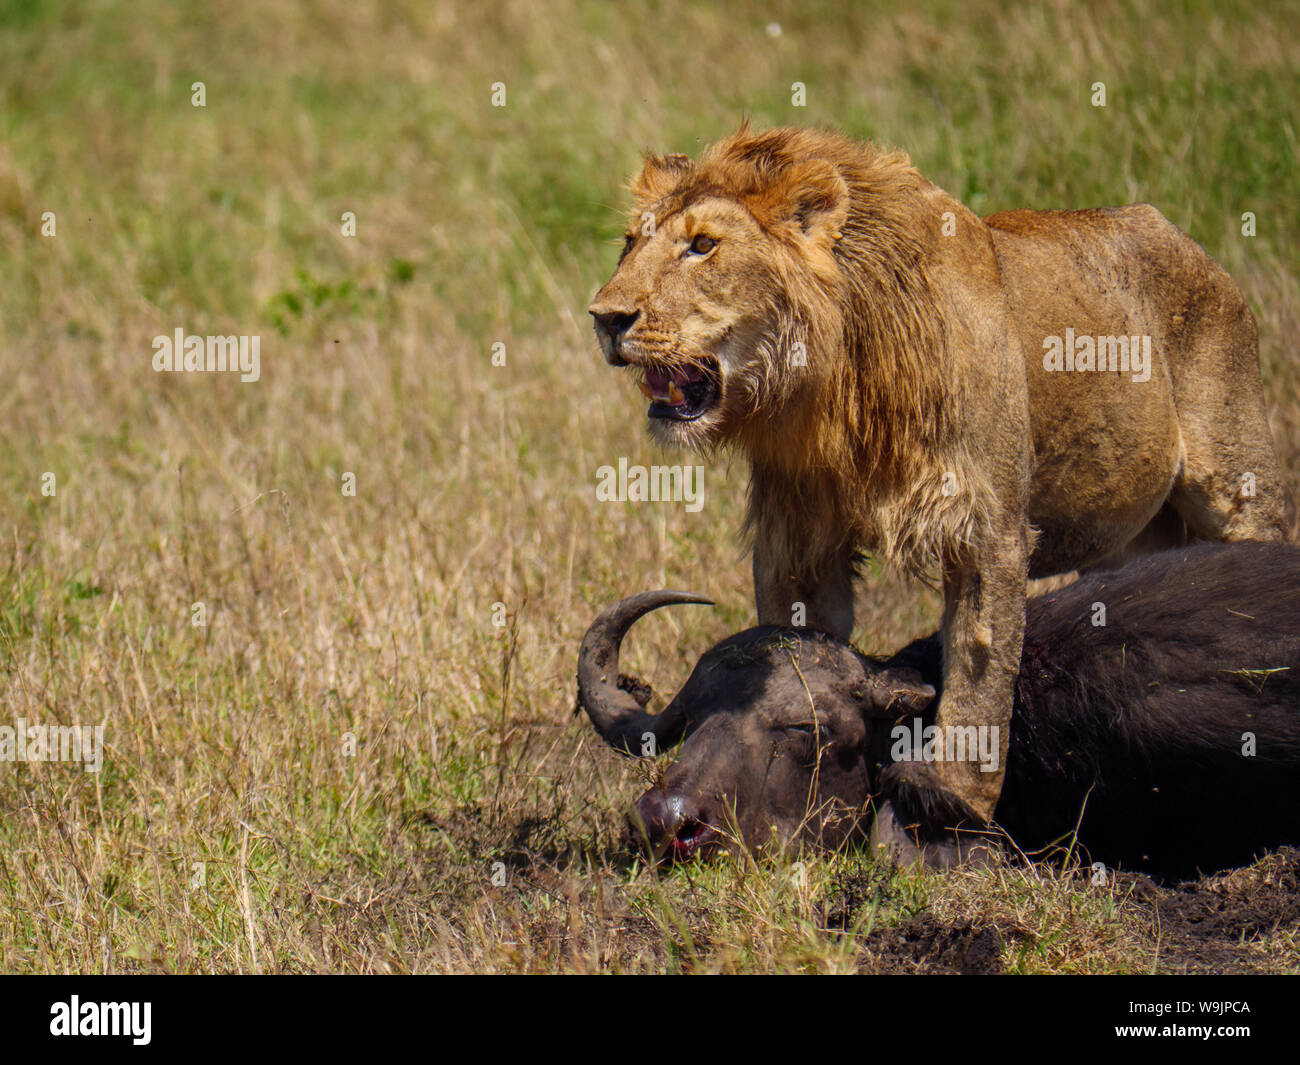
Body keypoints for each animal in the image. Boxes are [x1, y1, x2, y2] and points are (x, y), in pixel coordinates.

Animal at [588, 124, 1289, 840]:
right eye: (629, 243)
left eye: (703, 245)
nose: (605, 317)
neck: (836, 383)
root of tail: (1179, 235)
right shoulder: (798, 539)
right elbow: (799, 642)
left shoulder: (987, 527)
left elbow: (980, 666)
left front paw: (949, 804)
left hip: (1235, 481)